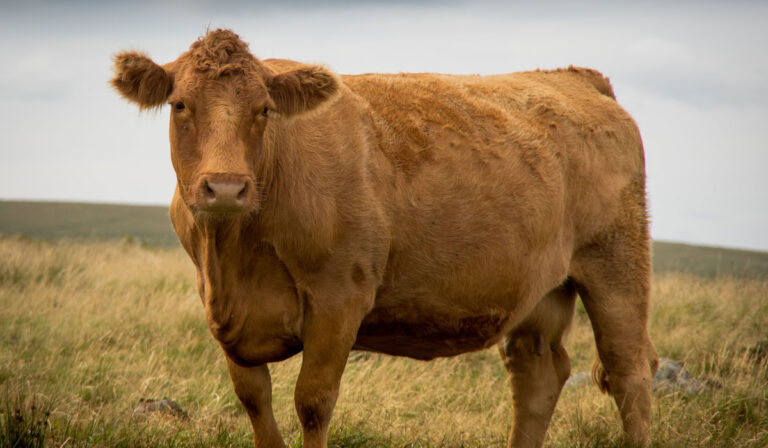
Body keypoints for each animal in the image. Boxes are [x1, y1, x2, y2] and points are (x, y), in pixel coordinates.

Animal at [111, 29, 658, 448]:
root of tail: (573, 77)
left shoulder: (339, 299)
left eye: (264, 110)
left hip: (616, 265)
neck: (235, 255)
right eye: (180, 105)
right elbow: (255, 403)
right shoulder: (225, 316)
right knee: (538, 375)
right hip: (543, 290)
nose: (225, 186)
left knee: (629, 373)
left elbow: (312, 402)